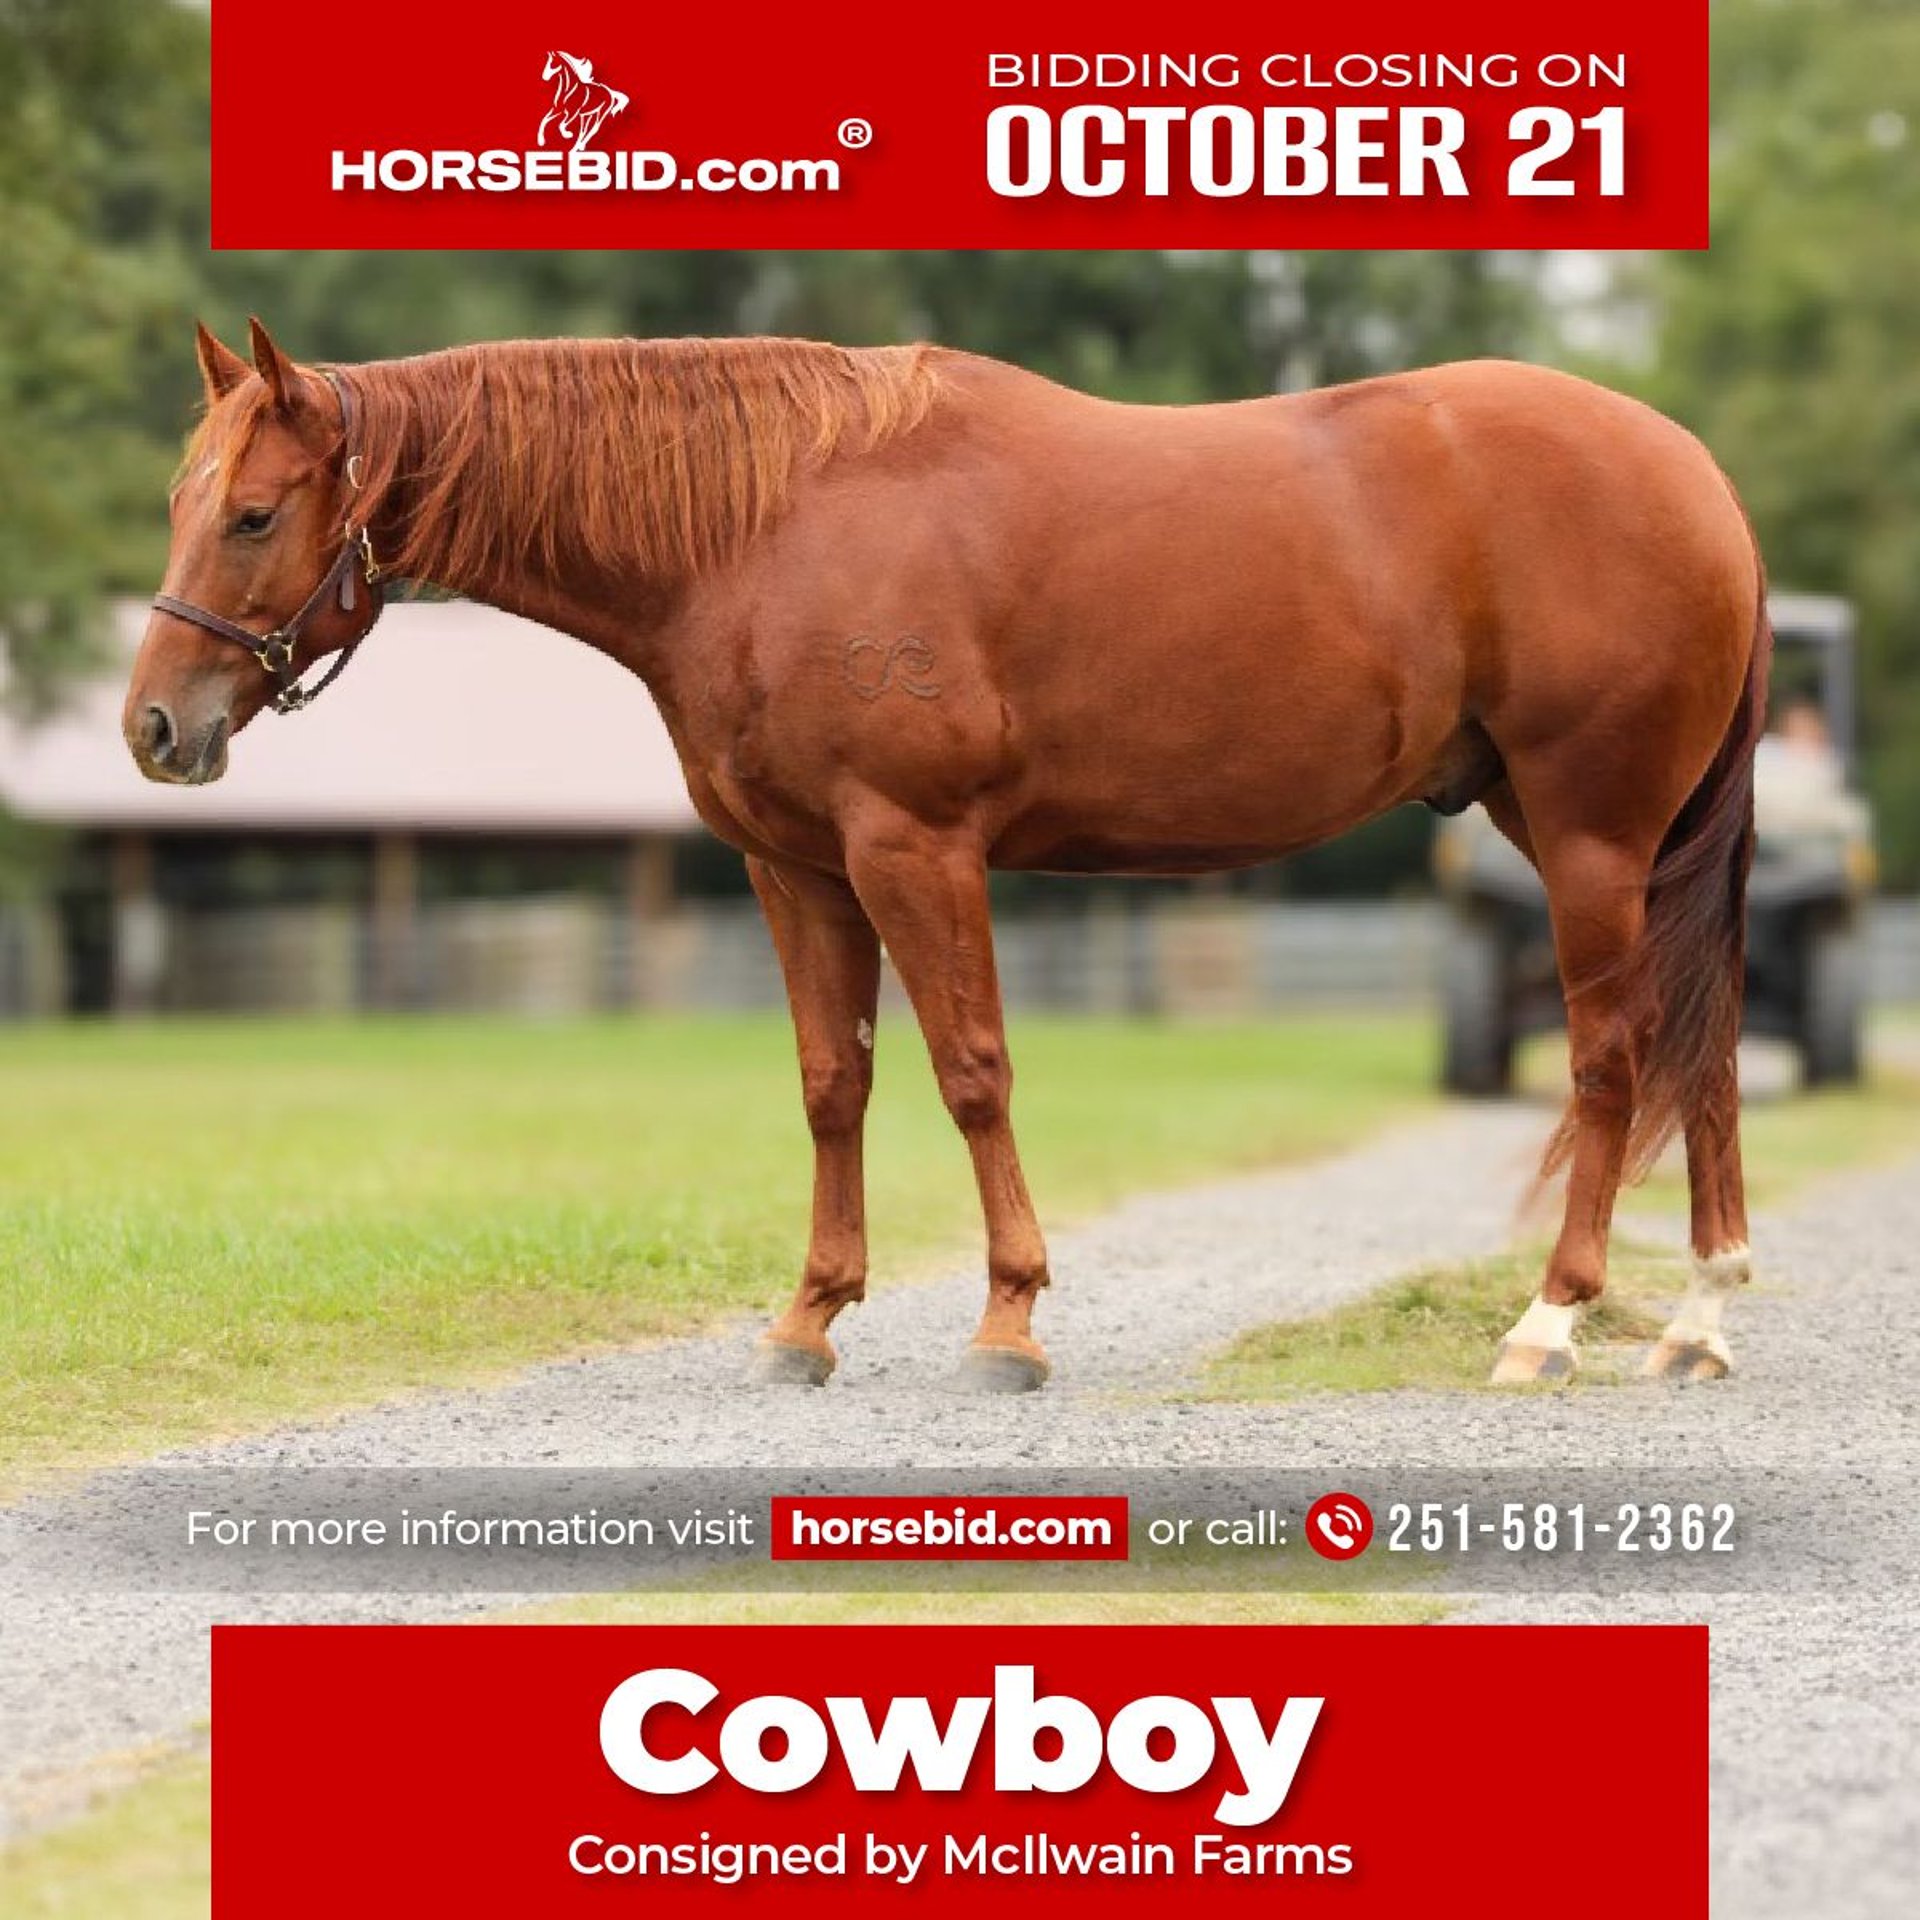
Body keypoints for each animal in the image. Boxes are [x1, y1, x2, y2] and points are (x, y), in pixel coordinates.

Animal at [127, 320, 1768, 1395]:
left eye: (255, 513)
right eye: (181, 500)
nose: (156, 725)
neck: (768, 523)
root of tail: (1703, 479)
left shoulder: (913, 849)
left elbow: (972, 1071)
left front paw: (1008, 1322)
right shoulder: (795, 869)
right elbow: (832, 1083)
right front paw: (809, 1319)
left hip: (1590, 837)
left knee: (1616, 1062)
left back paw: (1552, 1322)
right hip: (1605, 840)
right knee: (1708, 1052)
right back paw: (1697, 1317)